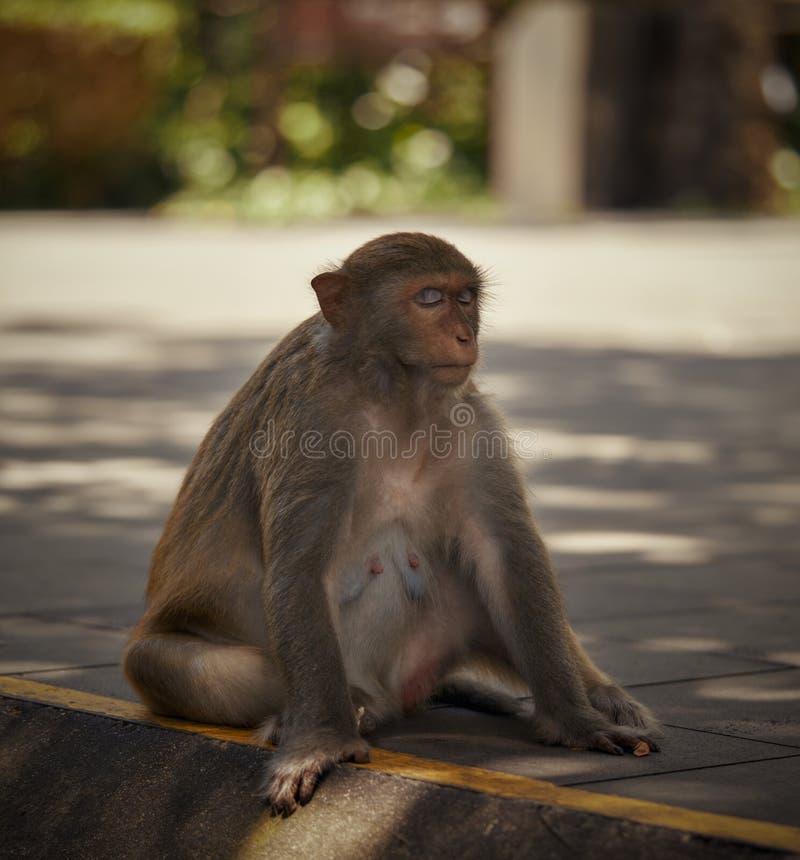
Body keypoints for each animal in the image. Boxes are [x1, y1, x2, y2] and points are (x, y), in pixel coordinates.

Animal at [123, 232, 659, 816]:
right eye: (429, 298)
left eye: (466, 297)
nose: (464, 335)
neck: (391, 393)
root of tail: (394, 692)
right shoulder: (310, 423)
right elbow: (299, 570)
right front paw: (321, 744)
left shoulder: (471, 424)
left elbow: (505, 557)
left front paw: (577, 721)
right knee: (173, 665)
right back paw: (323, 715)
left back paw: (598, 693)